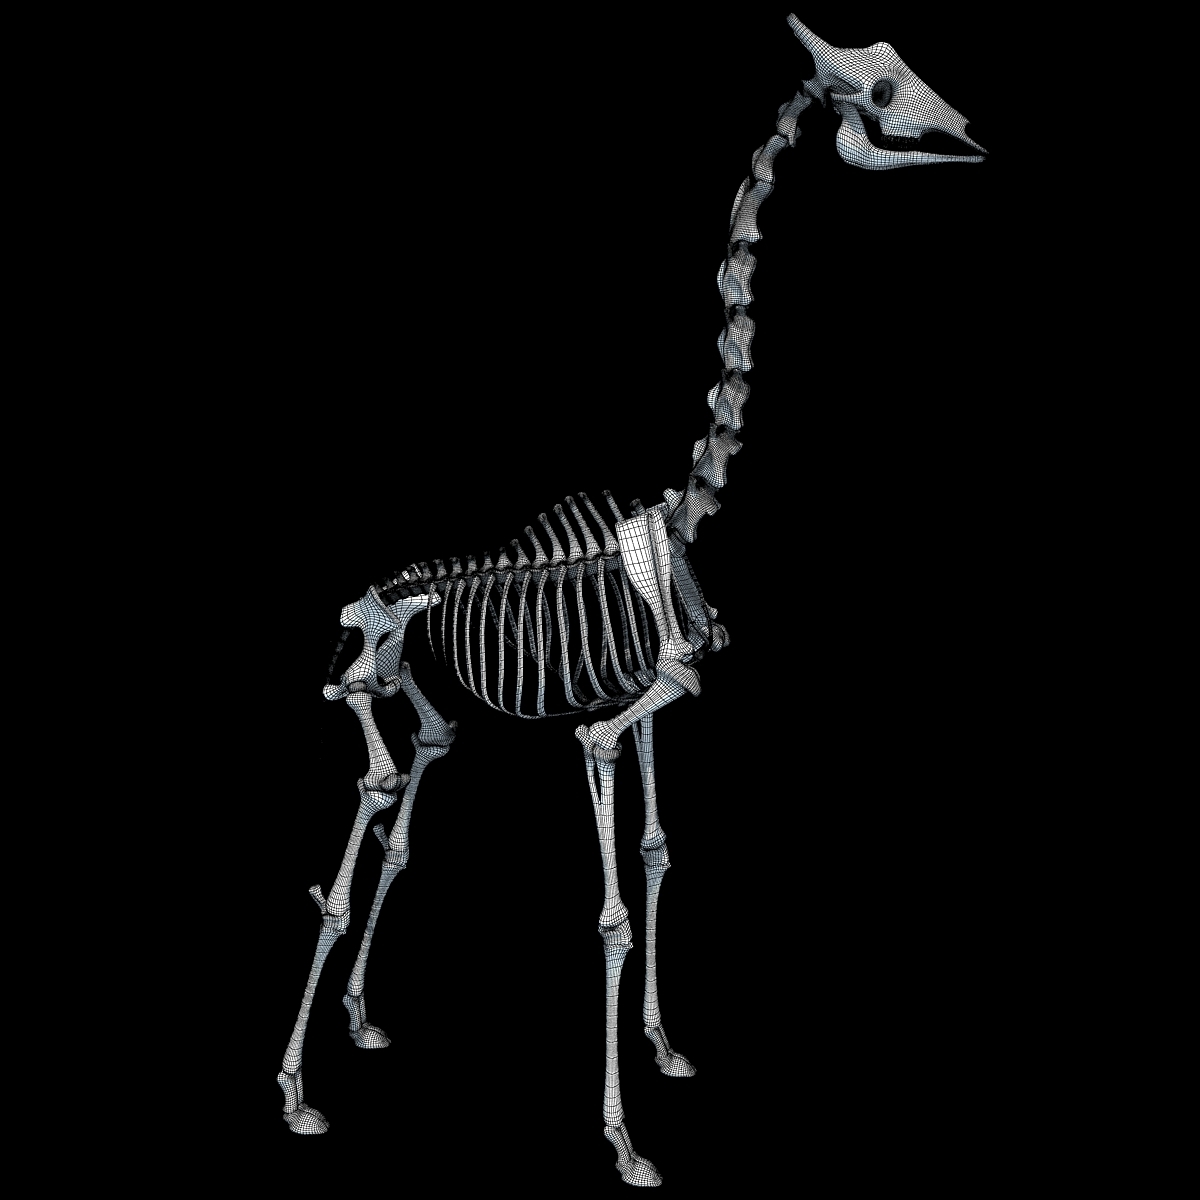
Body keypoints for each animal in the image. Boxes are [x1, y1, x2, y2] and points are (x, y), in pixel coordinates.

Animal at [276, 14, 986, 1186]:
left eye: (905, 70)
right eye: (879, 94)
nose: (965, 133)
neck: (684, 518)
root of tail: (372, 594)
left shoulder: (655, 697)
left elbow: (657, 851)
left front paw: (665, 1048)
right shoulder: (607, 726)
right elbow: (609, 905)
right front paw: (624, 1141)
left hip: (420, 694)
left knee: (413, 786)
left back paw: (361, 1020)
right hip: (363, 676)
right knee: (364, 794)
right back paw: (295, 1095)